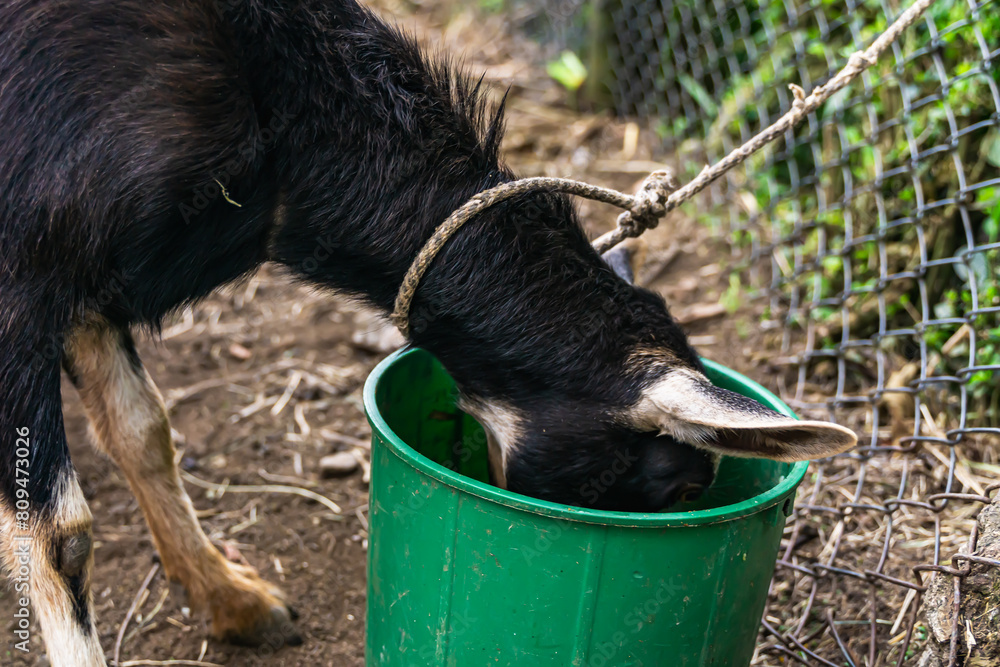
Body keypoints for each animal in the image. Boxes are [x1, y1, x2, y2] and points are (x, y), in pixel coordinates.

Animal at [0, 0, 857, 664]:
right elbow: (61, 530)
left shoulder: (90, 274)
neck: (283, 111)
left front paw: (236, 600)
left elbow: (143, 429)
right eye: (680, 485)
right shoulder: (26, 270)